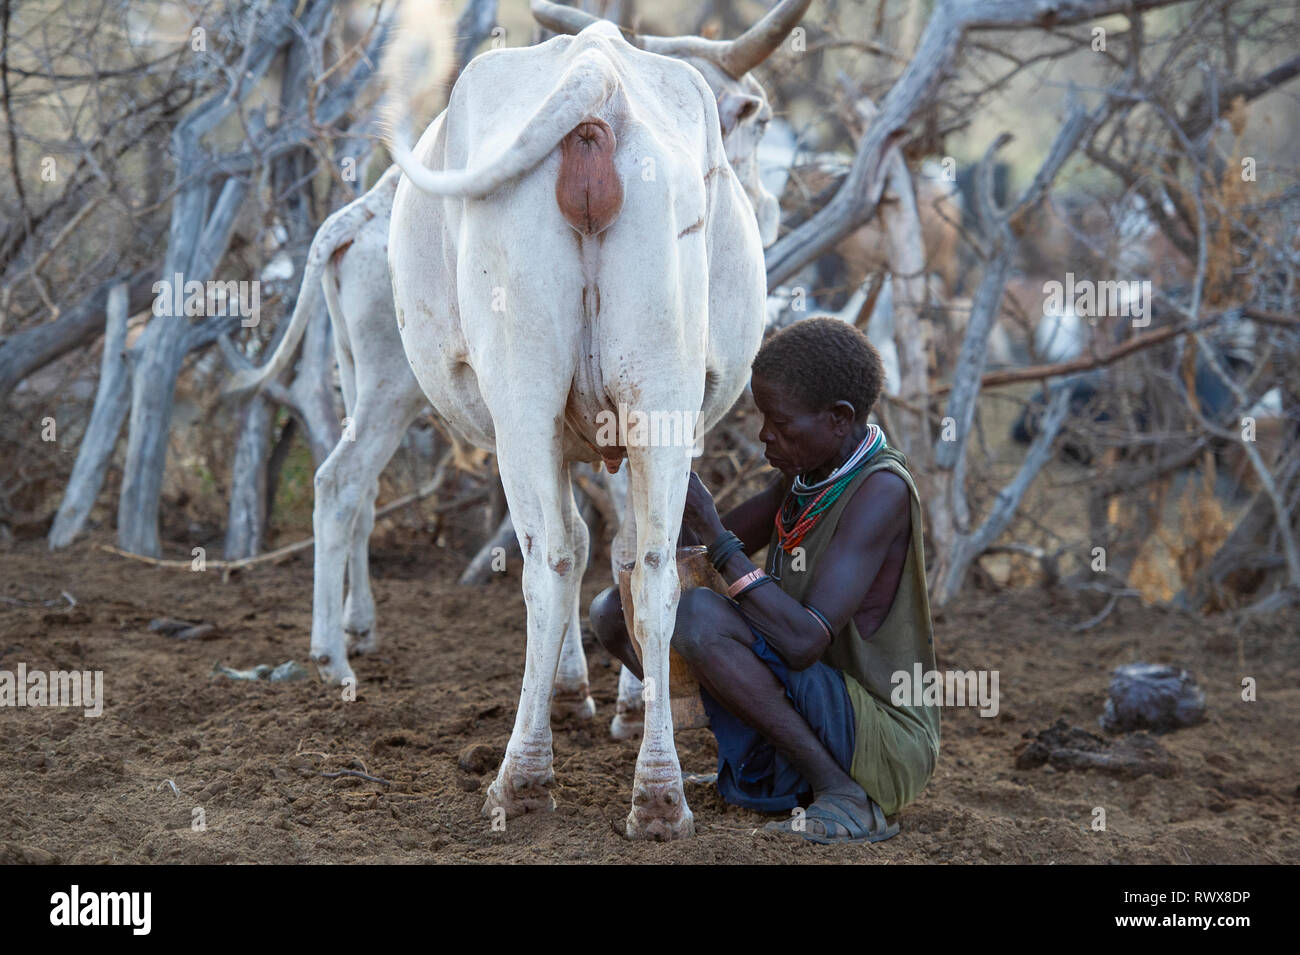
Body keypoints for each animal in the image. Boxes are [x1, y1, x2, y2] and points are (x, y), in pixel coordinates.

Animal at [382, 0, 819, 838]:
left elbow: (586, 543)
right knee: (652, 571)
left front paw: (582, 697)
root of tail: (599, 80)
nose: (771, 204)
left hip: (525, 395)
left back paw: (524, 777)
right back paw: (658, 794)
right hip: (656, 393)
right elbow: (614, 549)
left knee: (552, 562)